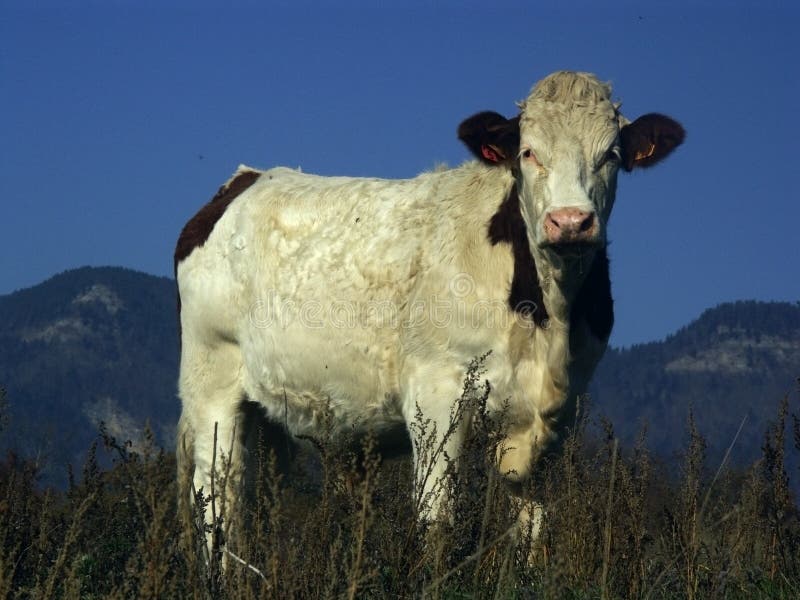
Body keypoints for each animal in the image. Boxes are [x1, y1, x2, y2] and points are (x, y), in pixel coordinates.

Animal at [175, 71, 684, 554]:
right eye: (528, 153)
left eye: (611, 155)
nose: (571, 222)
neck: (547, 318)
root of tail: (248, 178)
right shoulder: (436, 392)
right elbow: (437, 523)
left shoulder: (558, 418)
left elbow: (534, 533)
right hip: (213, 384)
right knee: (218, 504)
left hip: (270, 416)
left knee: (259, 510)